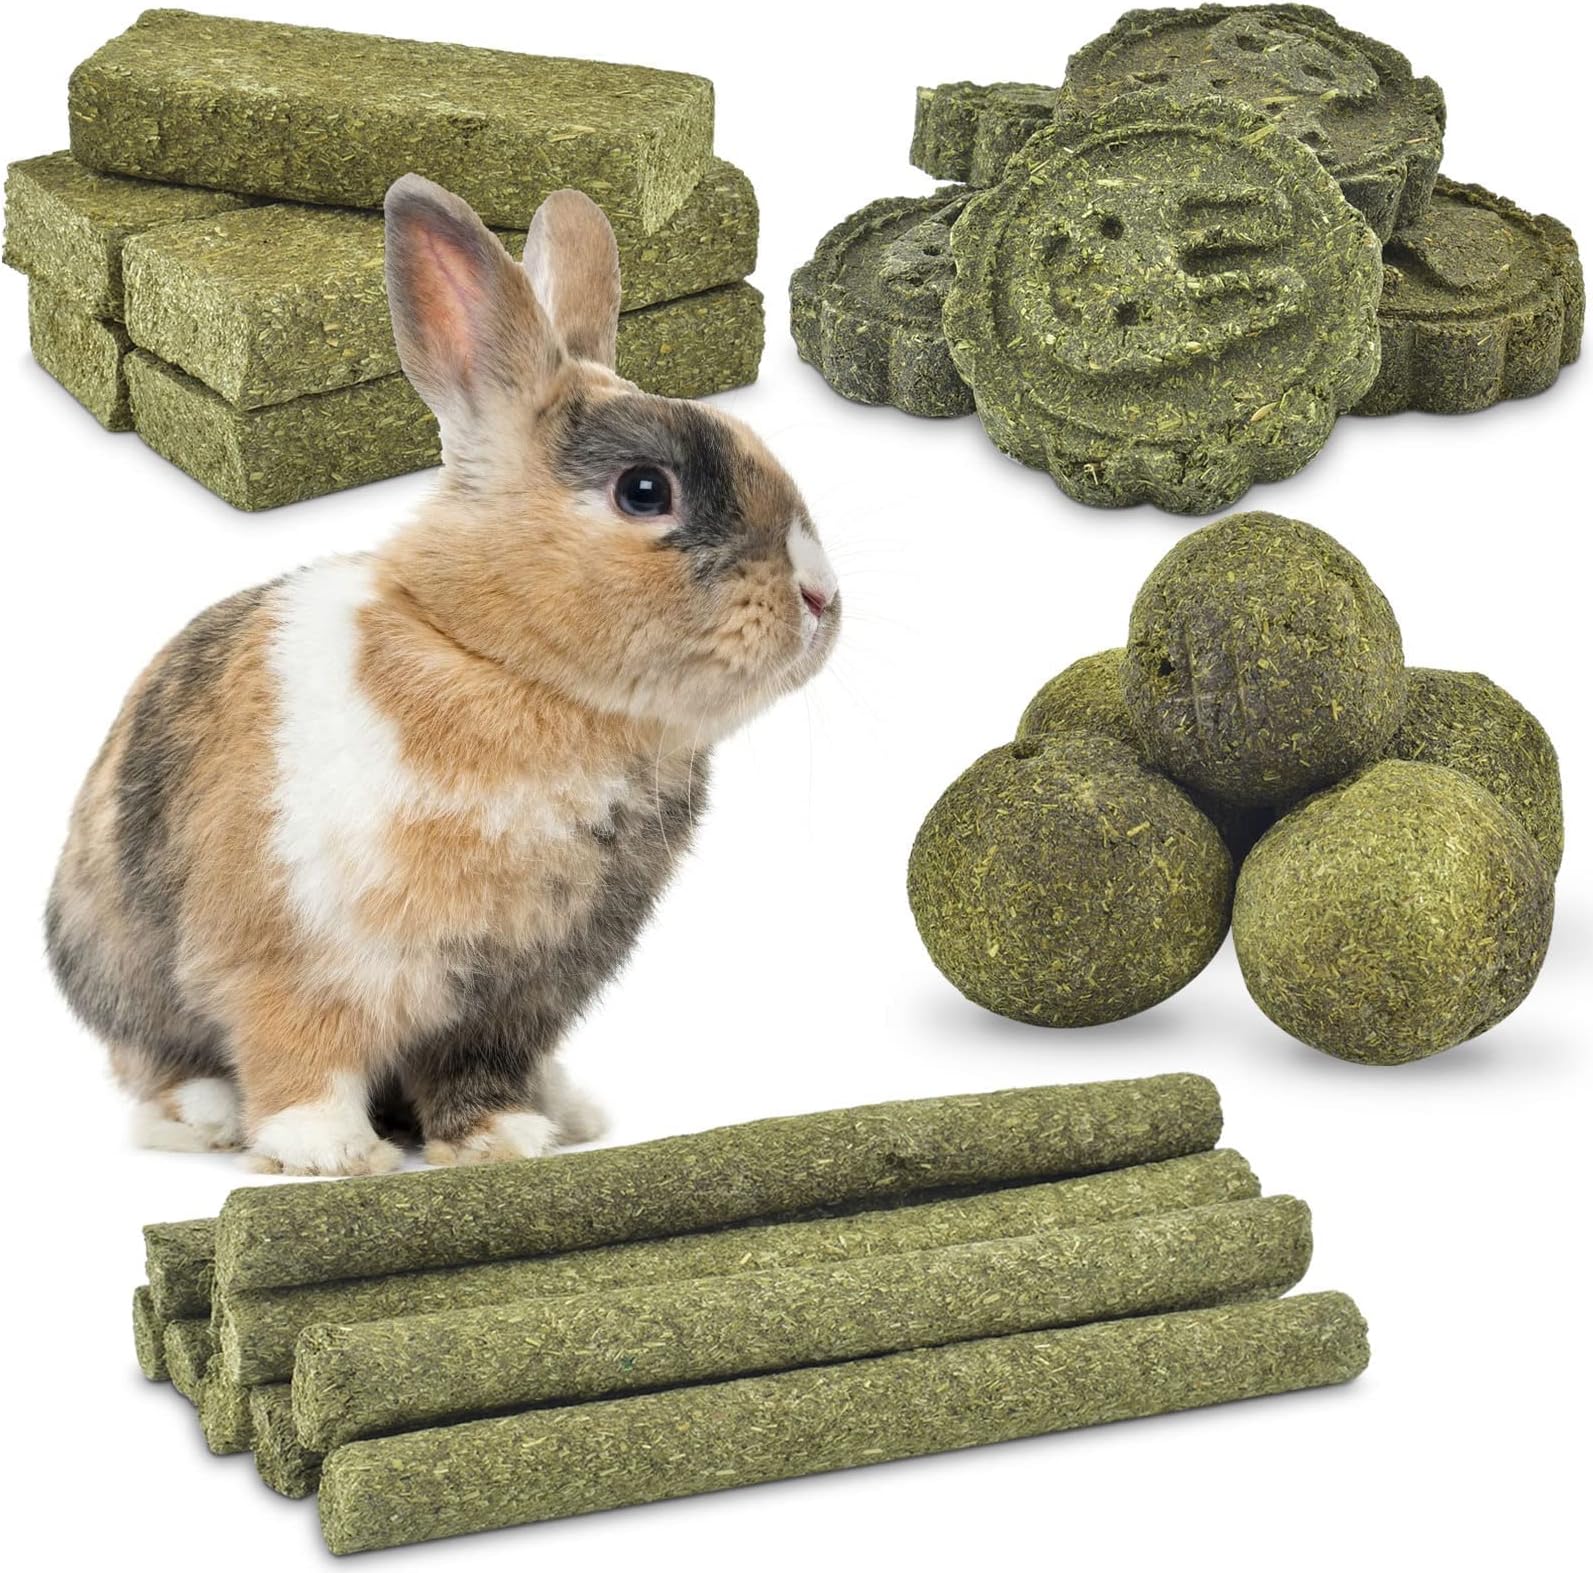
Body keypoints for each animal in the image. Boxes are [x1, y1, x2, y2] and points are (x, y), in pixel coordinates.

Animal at [45, 175, 840, 1176]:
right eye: (643, 490)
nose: (820, 597)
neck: (497, 664)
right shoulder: (283, 959)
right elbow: (297, 1052)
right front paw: (325, 1153)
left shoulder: (514, 996)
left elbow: (474, 1070)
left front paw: (503, 1139)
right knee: (156, 1062)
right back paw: (209, 1116)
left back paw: (567, 1109)